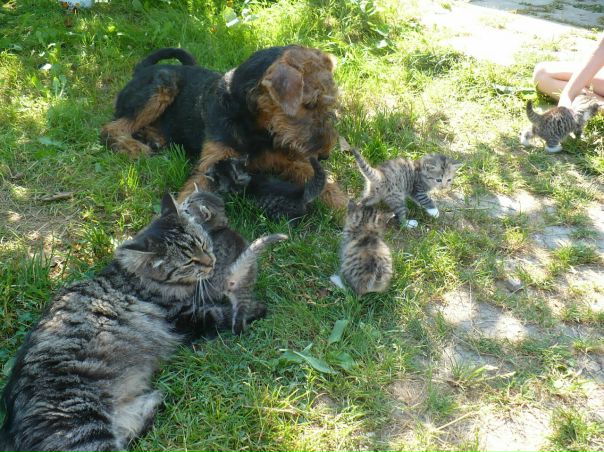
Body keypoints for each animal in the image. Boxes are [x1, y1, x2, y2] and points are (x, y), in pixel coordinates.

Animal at [0, 193, 232, 452]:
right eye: (190, 262)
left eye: (202, 244)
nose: (210, 261)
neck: (134, 277)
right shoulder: (183, 316)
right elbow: (225, 312)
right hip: (85, 428)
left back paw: (153, 401)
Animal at [101, 46, 348, 209]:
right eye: (309, 104)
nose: (324, 155)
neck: (256, 128)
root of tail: (141, 69)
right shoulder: (213, 164)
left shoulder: (294, 162)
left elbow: (329, 187)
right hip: (164, 84)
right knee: (111, 127)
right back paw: (134, 147)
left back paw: (153, 138)